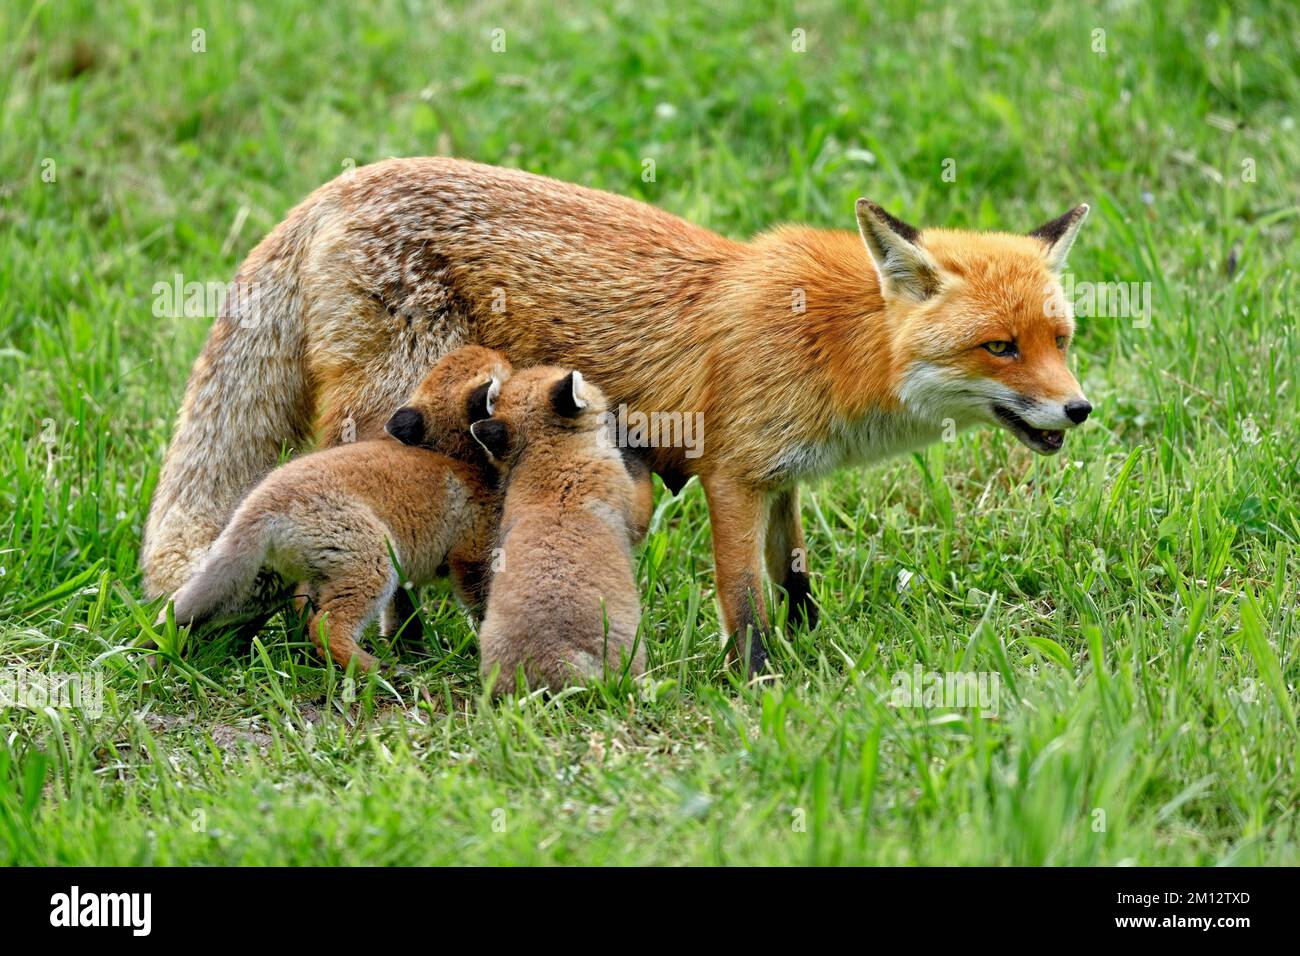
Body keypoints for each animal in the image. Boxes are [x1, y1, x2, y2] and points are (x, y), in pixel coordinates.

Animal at [156, 346, 511, 672]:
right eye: (505, 367)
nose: (509, 355)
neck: (457, 458)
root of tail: (262, 501)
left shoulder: (407, 578)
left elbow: (402, 622)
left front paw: (414, 652)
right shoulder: (472, 556)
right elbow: (482, 608)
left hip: (301, 580)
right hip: (374, 565)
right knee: (326, 627)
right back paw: (379, 670)